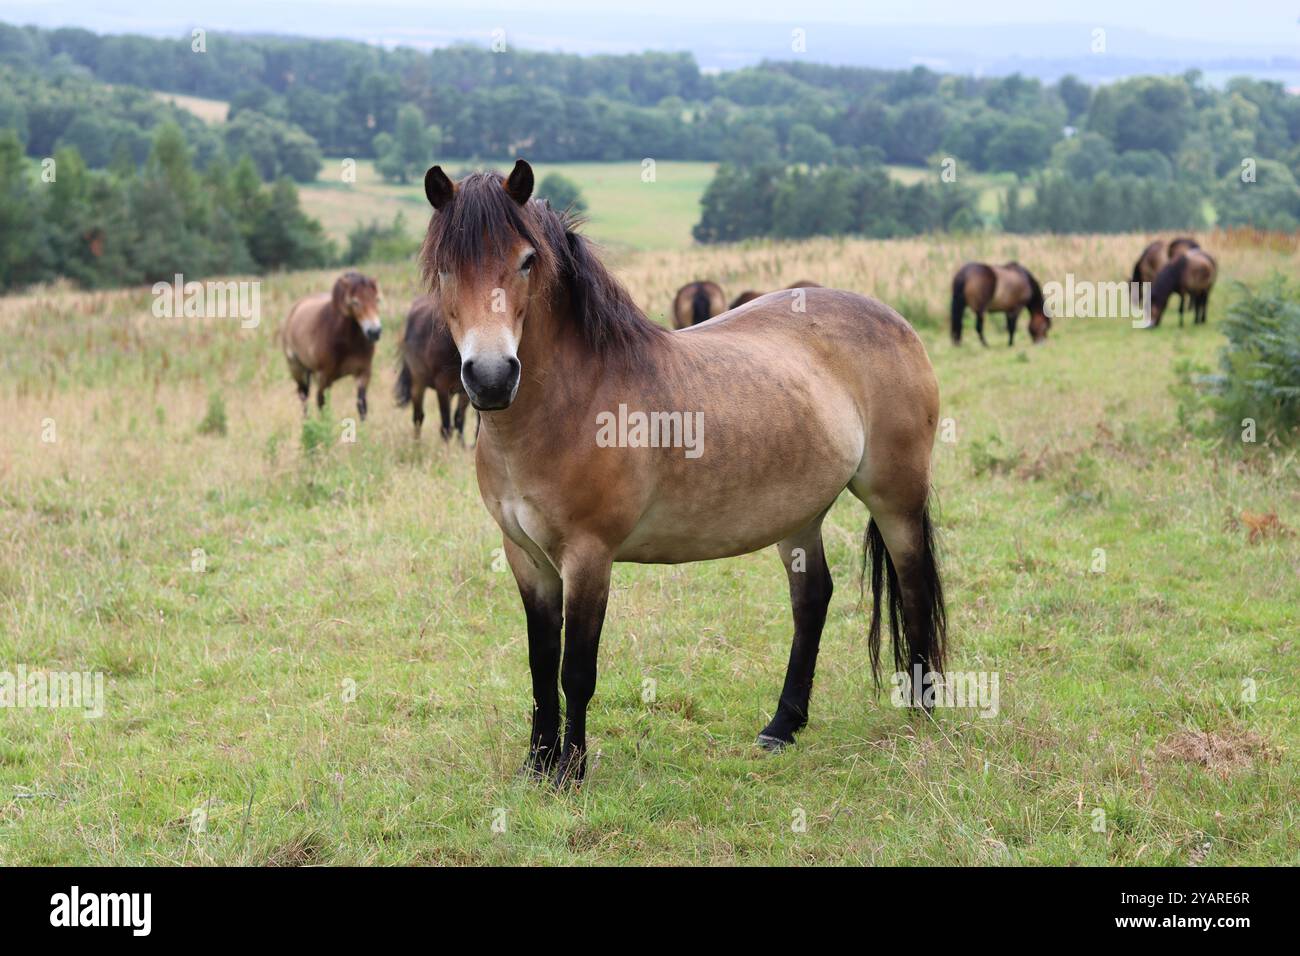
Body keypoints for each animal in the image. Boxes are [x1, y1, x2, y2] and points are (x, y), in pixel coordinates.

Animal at [282, 272, 383, 419]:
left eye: (377, 299)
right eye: (355, 302)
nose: (374, 332)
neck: (347, 341)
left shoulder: (363, 373)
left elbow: (362, 405)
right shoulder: (323, 377)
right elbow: (321, 404)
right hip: (297, 370)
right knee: (304, 396)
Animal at [394, 293, 471, 441]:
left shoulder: (466, 392)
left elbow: (459, 420)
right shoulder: (442, 386)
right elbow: (446, 427)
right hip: (418, 382)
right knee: (418, 416)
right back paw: (416, 444)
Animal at [420, 159, 946, 785]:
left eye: (527, 261)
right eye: (445, 269)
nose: (492, 377)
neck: (573, 402)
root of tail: (896, 321)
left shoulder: (589, 557)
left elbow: (576, 670)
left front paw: (571, 771)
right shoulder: (526, 557)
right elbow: (541, 663)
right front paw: (537, 765)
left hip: (895, 500)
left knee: (914, 587)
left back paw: (921, 713)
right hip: (799, 515)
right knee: (813, 598)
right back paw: (782, 726)